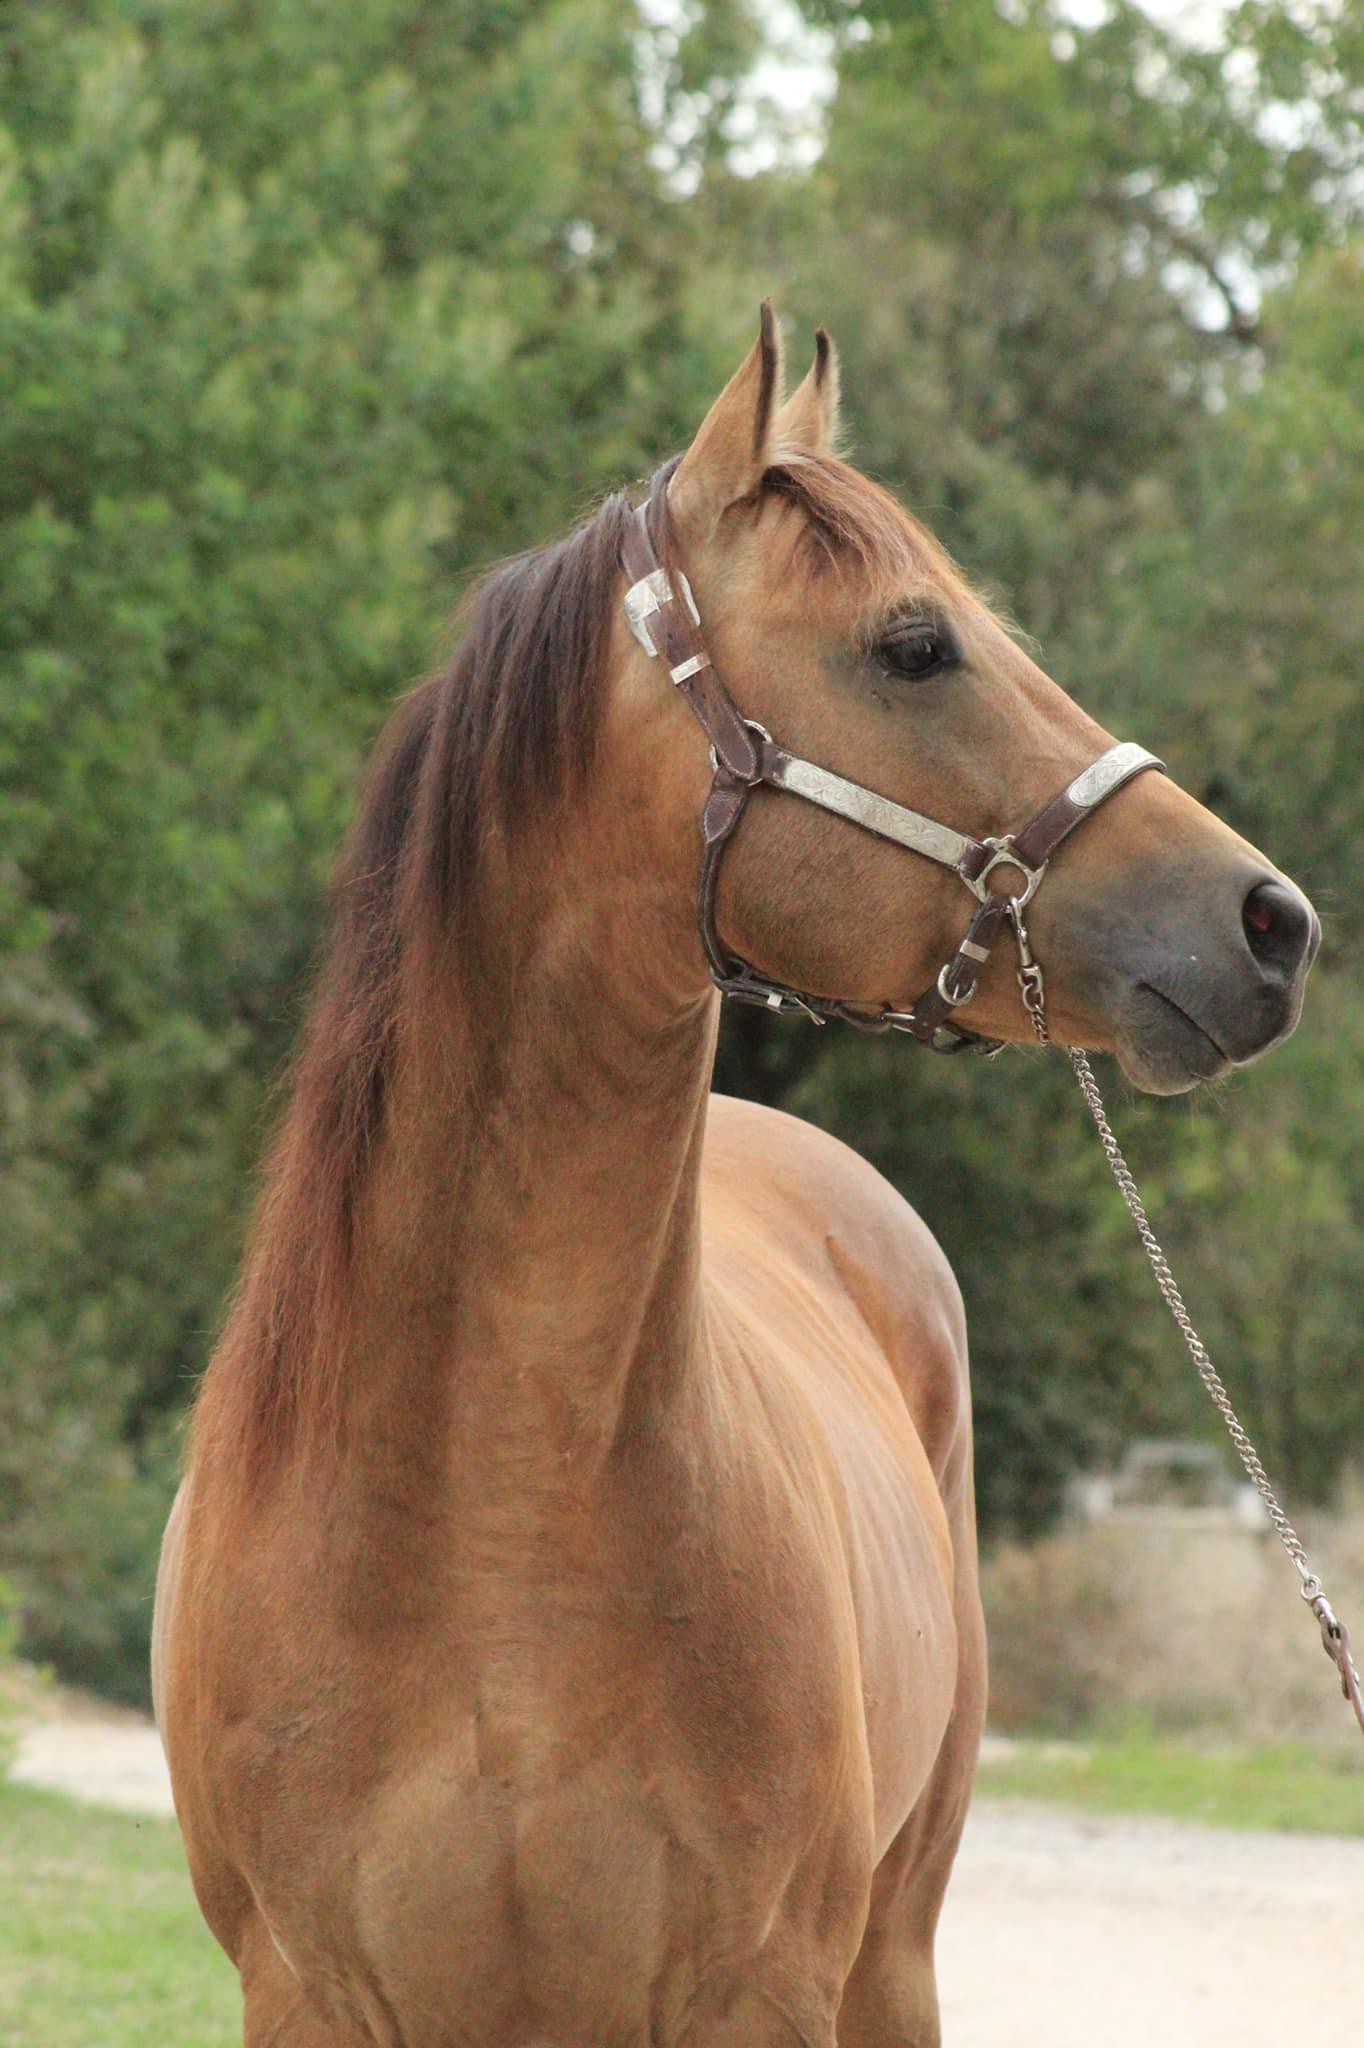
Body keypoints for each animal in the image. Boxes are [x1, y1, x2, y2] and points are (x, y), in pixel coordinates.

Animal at [153, 308, 1317, 2048]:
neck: (494, 1528)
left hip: (895, 1953)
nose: (1271, 924)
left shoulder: (760, 1993)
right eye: (914, 645)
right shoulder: (307, 1997)